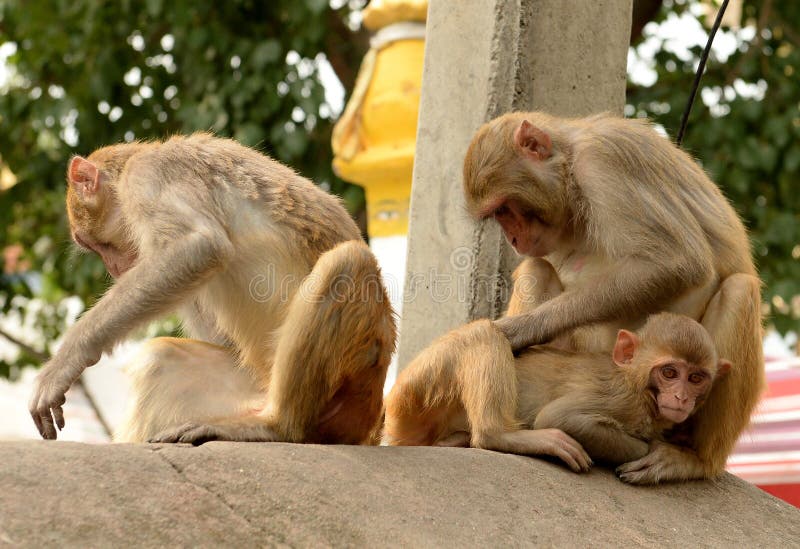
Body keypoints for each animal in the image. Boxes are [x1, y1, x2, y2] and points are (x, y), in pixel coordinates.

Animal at [28, 133, 396, 445]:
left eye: (94, 244)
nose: (114, 269)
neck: (138, 157)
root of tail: (375, 416)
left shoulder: (148, 177)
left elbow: (199, 246)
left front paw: (68, 358)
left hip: (353, 391)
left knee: (347, 263)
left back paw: (276, 426)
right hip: (254, 385)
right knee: (160, 359)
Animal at [384, 313, 730, 480]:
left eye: (696, 378)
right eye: (669, 373)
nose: (681, 397)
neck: (639, 385)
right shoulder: (622, 399)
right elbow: (561, 417)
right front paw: (655, 452)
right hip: (416, 392)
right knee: (484, 332)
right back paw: (502, 435)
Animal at [459, 111, 764, 483]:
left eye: (505, 208)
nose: (514, 239)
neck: (571, 168)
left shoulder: (605, 161)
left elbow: (677, 262)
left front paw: (519, 330)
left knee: (740, 289)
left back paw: (695, 459)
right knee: (537, 267)